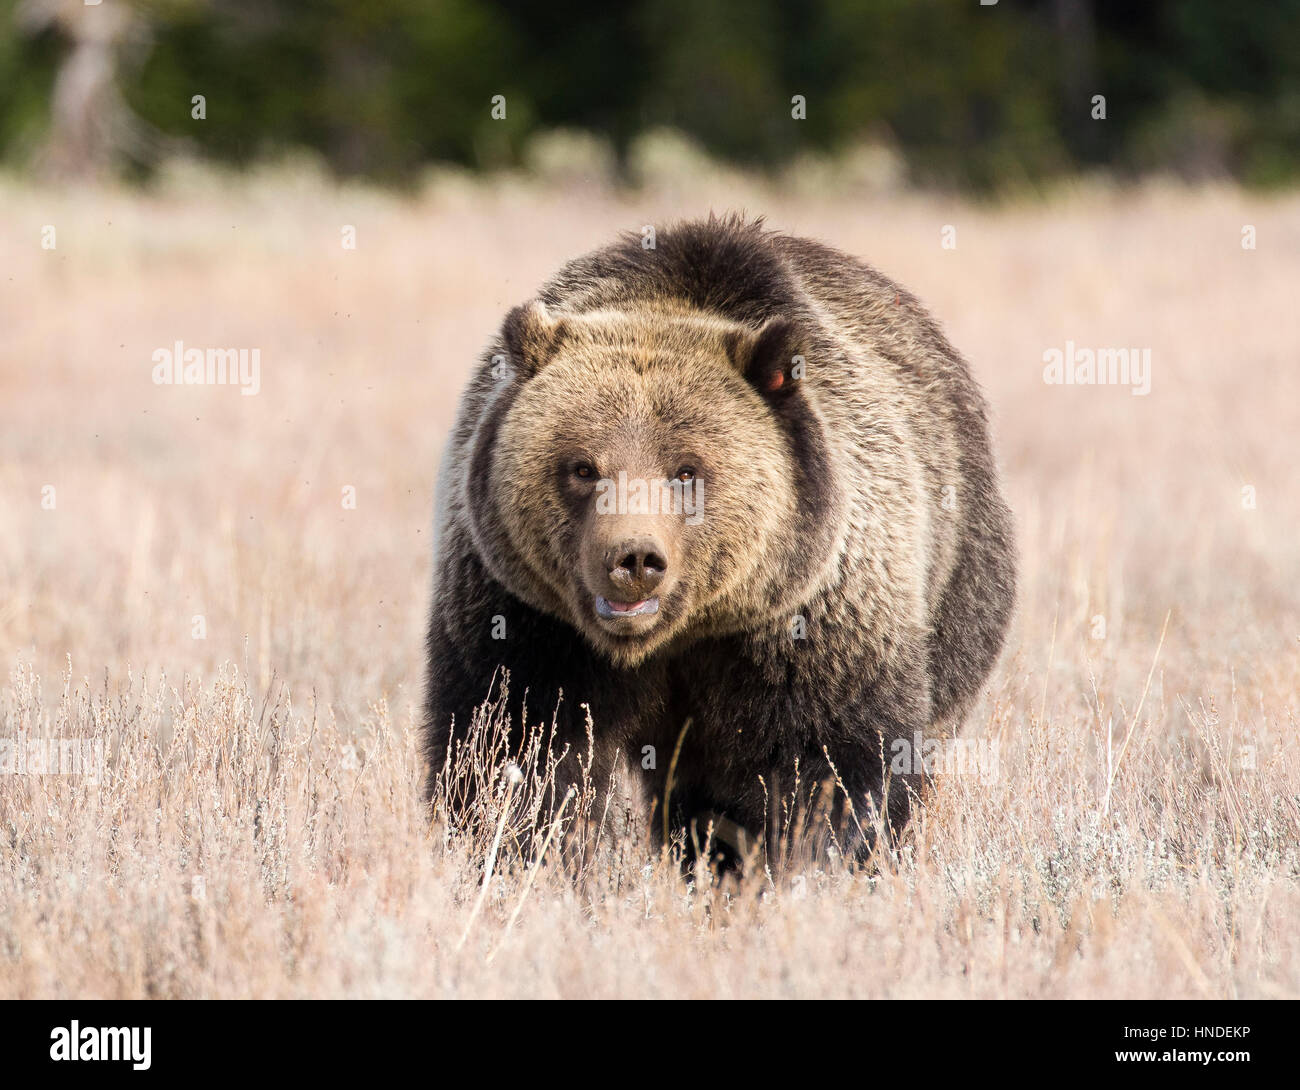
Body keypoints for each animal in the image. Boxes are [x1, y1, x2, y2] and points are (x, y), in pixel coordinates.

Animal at [422, 215, 1015, 864]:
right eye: (582, 466)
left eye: (687, 471)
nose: (634, 558)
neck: (678, 637)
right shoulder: (527, 618)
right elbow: (513, 746)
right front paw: (520, 846)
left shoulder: (807, 624)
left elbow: (827, 767)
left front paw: (808, 856)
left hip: (960, 587)